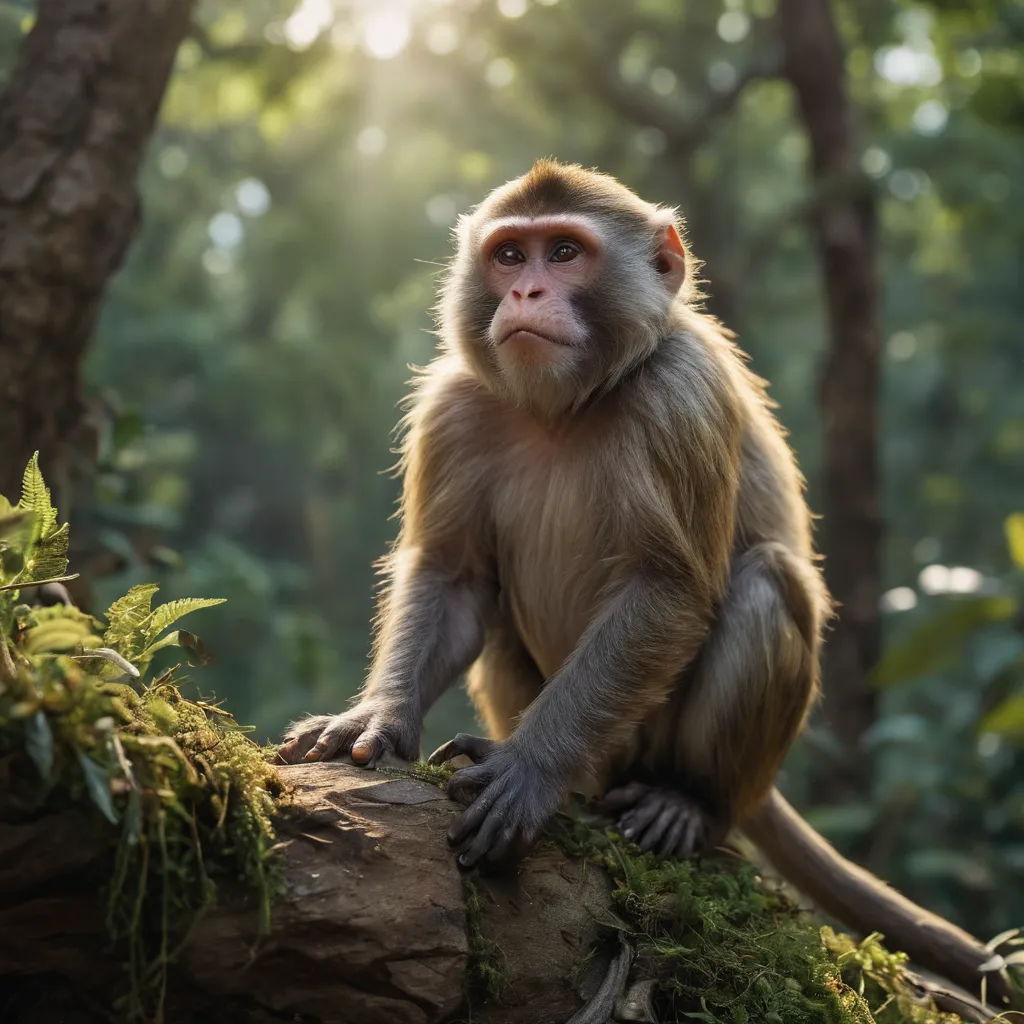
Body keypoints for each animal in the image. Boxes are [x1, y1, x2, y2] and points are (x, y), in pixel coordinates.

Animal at [278, 160, 1012, 1004]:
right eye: (509, 255)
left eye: (565, 252)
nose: (526, 292)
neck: (566, 408)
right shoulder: (455, 404)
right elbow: (456, 578)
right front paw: (376, 716)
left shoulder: (679, 393)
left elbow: (668, 590)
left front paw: (530, 771)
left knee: (765, 583)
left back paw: (684, 803)